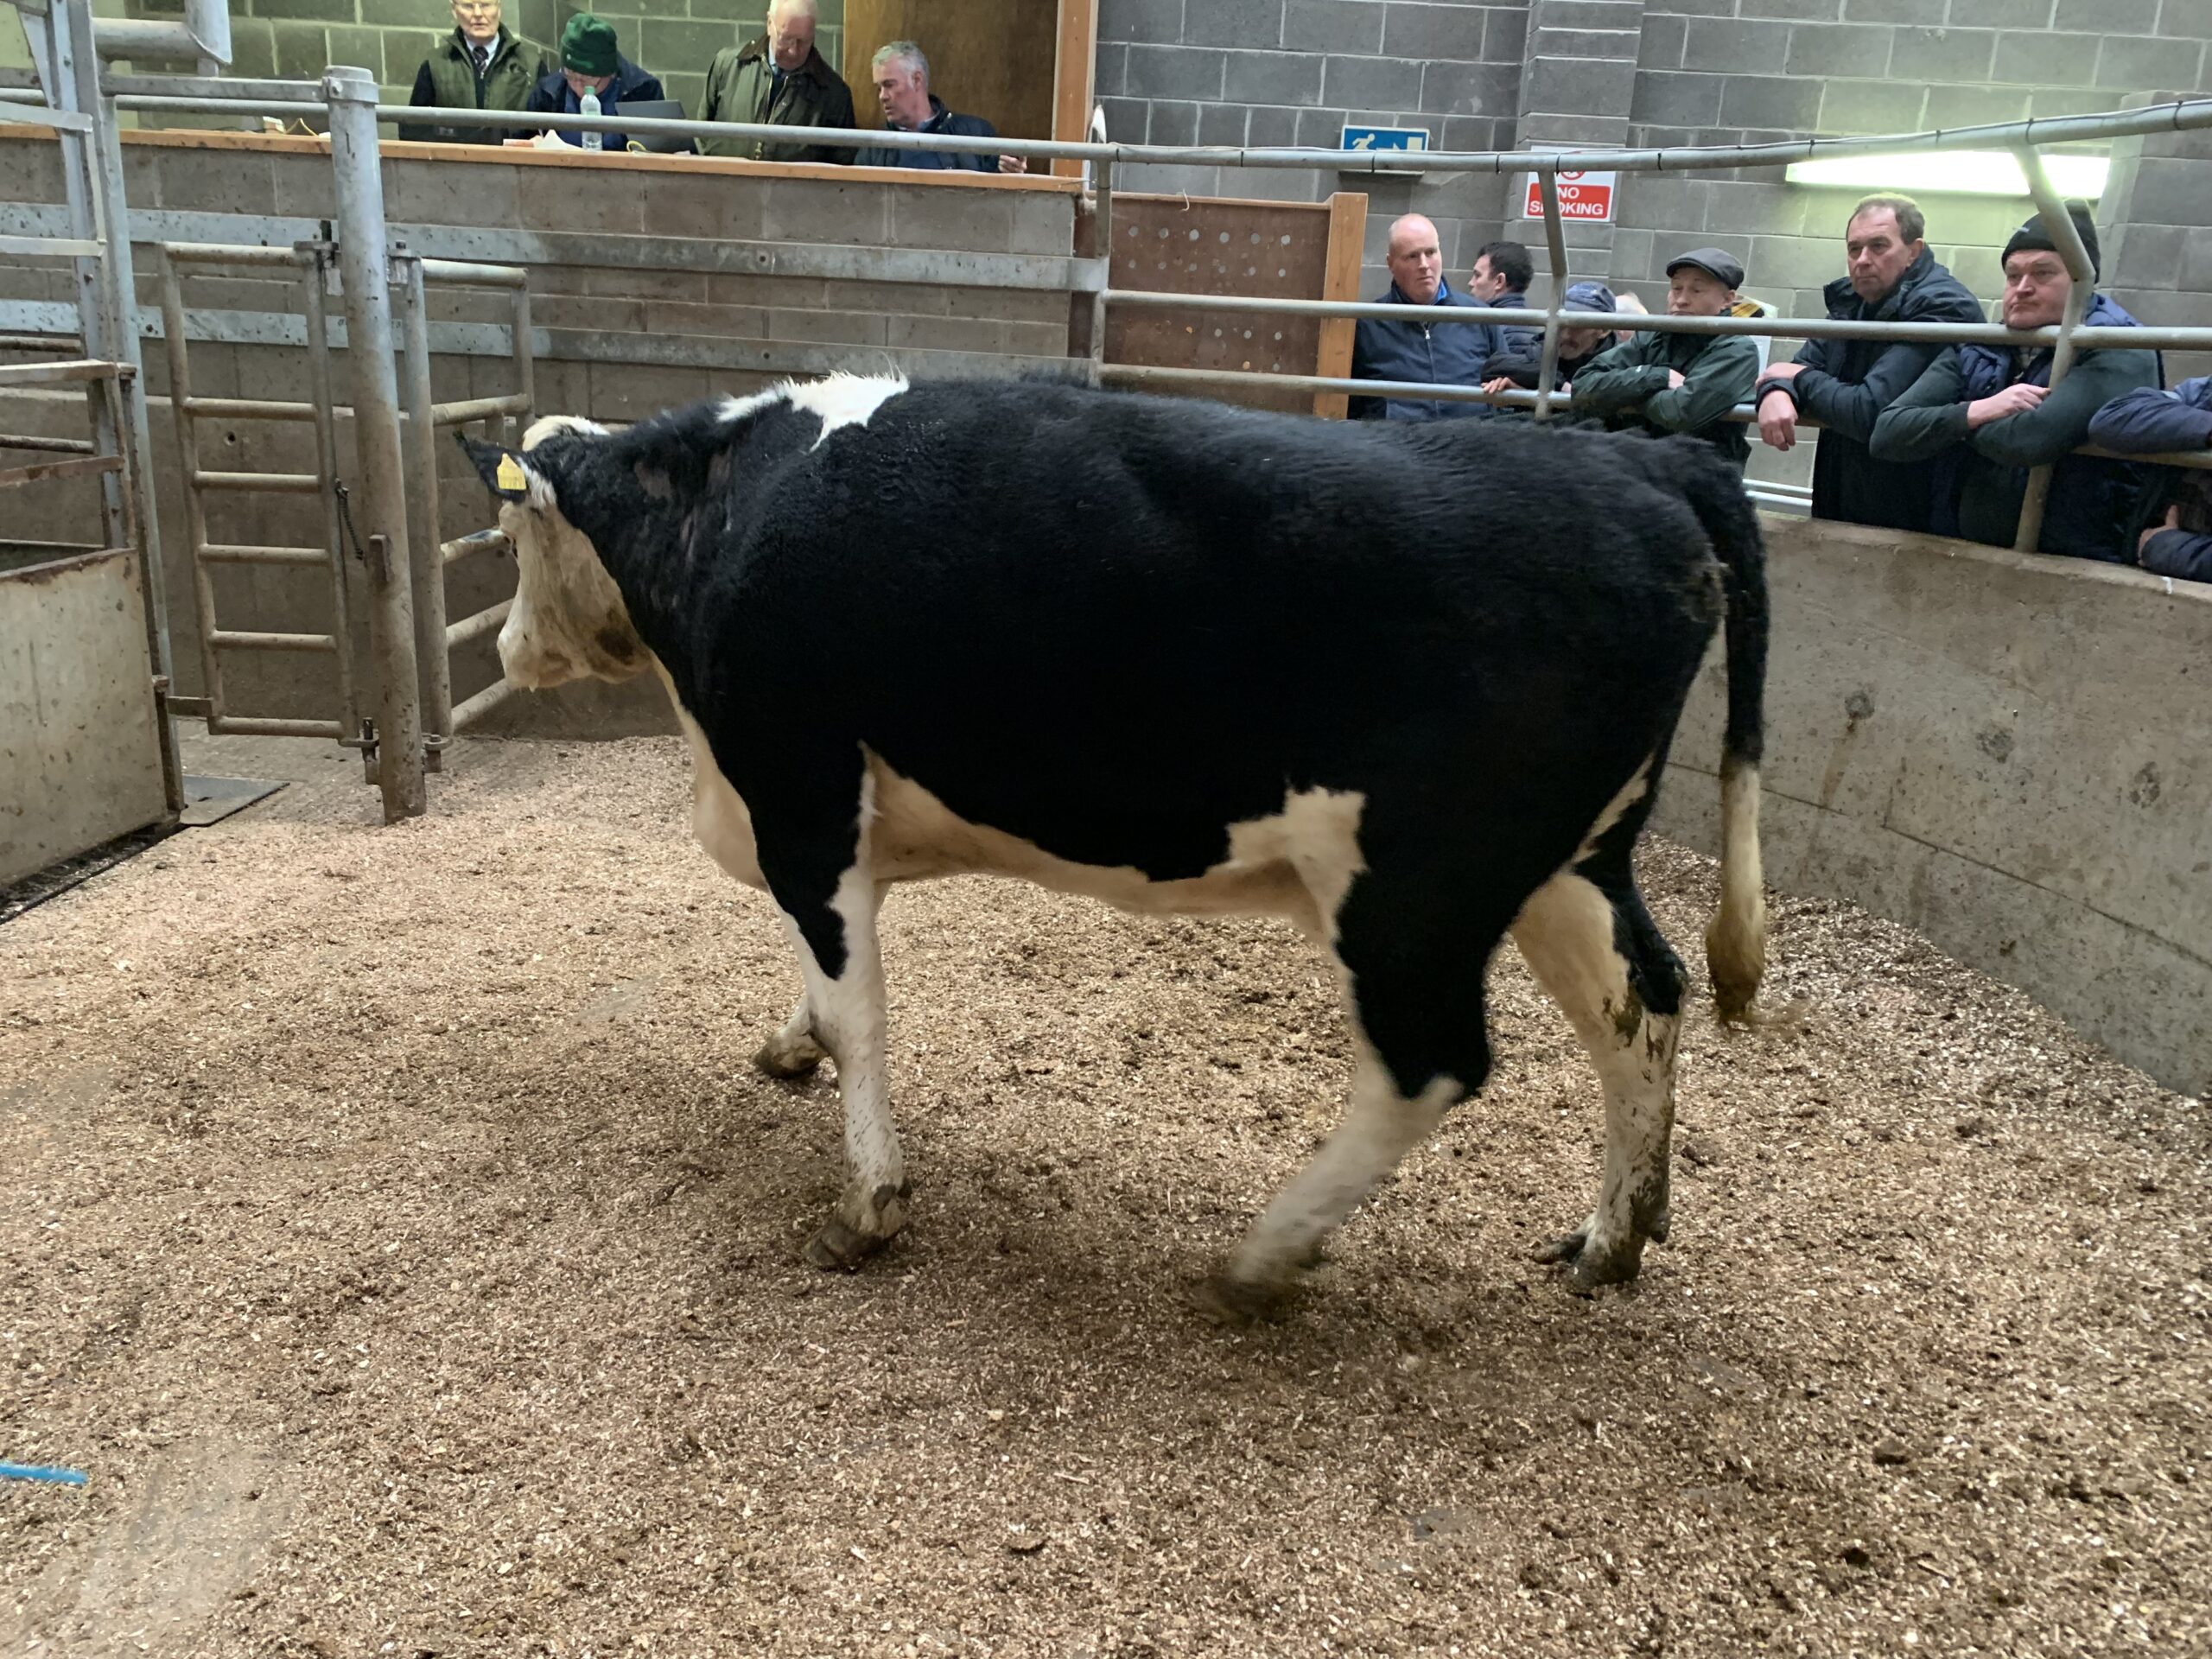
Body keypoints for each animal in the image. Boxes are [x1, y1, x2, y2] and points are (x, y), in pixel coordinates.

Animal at [462, 372, 1769, 1318]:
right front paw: (789, 1046)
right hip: (1568, 865)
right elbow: (823, 987)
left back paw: (1265, 1255)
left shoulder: (799, 795)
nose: (509, 651)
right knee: (1640, 1001)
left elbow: (859, 1008)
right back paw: (1612, 1237)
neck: (729, 511)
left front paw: (868, 1199)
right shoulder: (826, 827)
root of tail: (1638, 458)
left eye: (513, 536)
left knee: (1430, 1062)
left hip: (1413, 892)